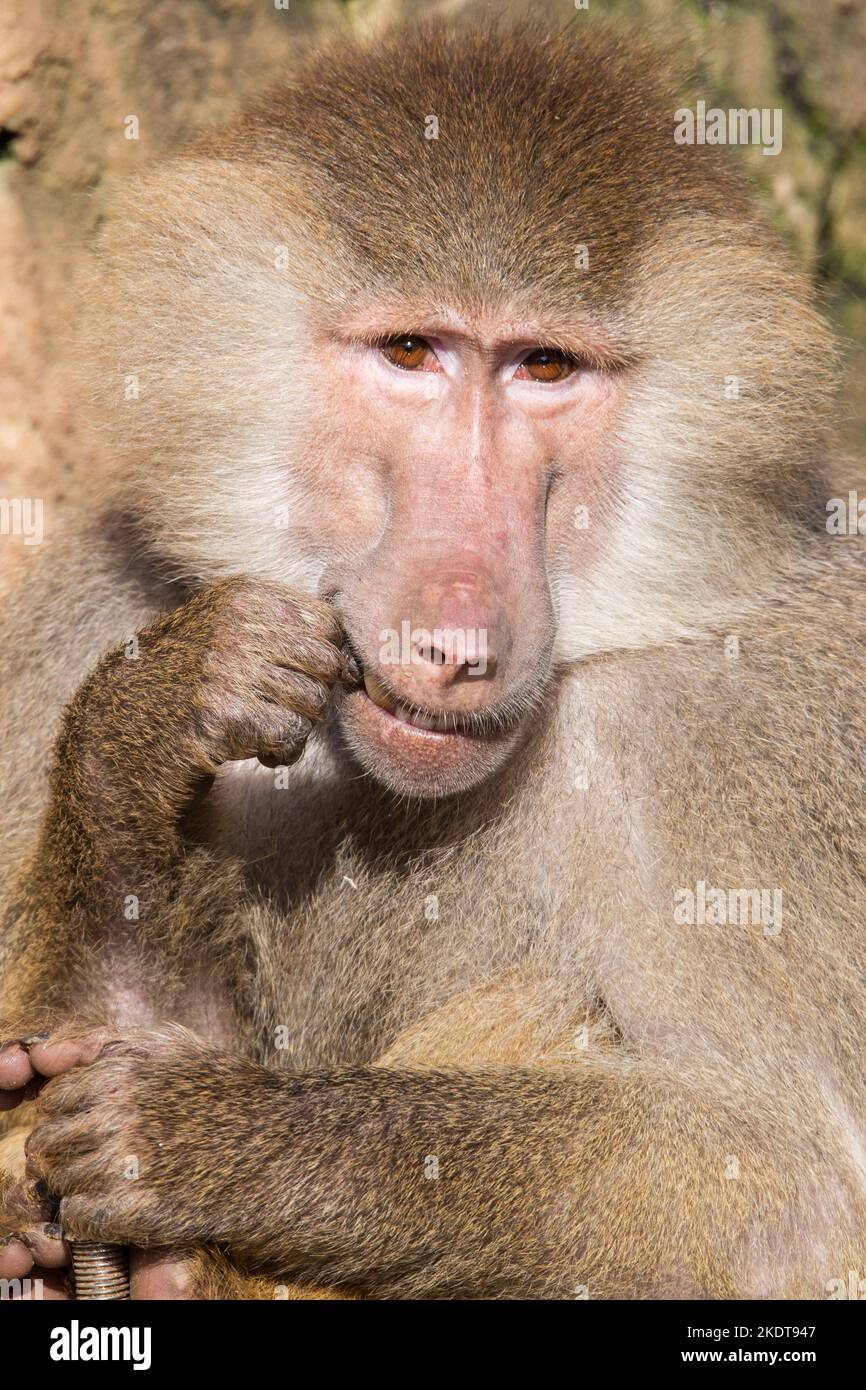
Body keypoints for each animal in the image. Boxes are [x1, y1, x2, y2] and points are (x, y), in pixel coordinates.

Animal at [0, 8, 864, 1301]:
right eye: (411, 352)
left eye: (544, 367)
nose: (454, 640)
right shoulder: (91, 601)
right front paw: (153, 719)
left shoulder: (728, 736)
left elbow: (786, 1192)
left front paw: (190, 1139)